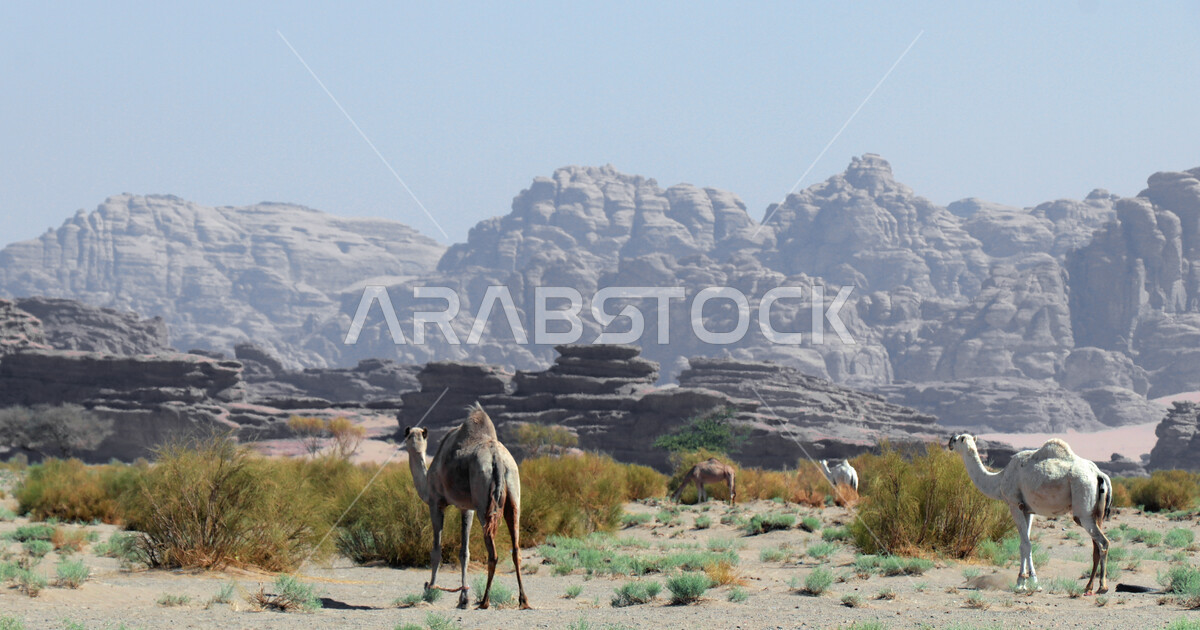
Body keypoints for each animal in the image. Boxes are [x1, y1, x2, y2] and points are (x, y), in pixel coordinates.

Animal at [404, 403, 530, 610]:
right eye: (409, 437)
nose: (409, 438)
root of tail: (497, 458)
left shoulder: (436, 502)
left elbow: (436, 550)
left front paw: (430, 591)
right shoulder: (466, 508)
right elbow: (464, 552)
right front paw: (463, 597)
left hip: (483, 501)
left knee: (493, 554)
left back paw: (485, 601)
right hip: (513, 493)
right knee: (516, 548)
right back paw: (524, 600)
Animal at [948, 434, 1113, 594]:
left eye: (958, 439)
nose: (950, 441)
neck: (999, 480)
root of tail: (1099, 474)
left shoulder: (1014, 504)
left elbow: (1025, 544)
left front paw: (1025, 582)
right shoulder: (1028, 510)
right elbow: (1025, 543)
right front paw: (1029, 583)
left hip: (1083, 507)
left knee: (1103, 542)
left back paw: (1102, 587)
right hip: (1097, 513)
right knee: (1096, 546)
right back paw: (1088, 587)